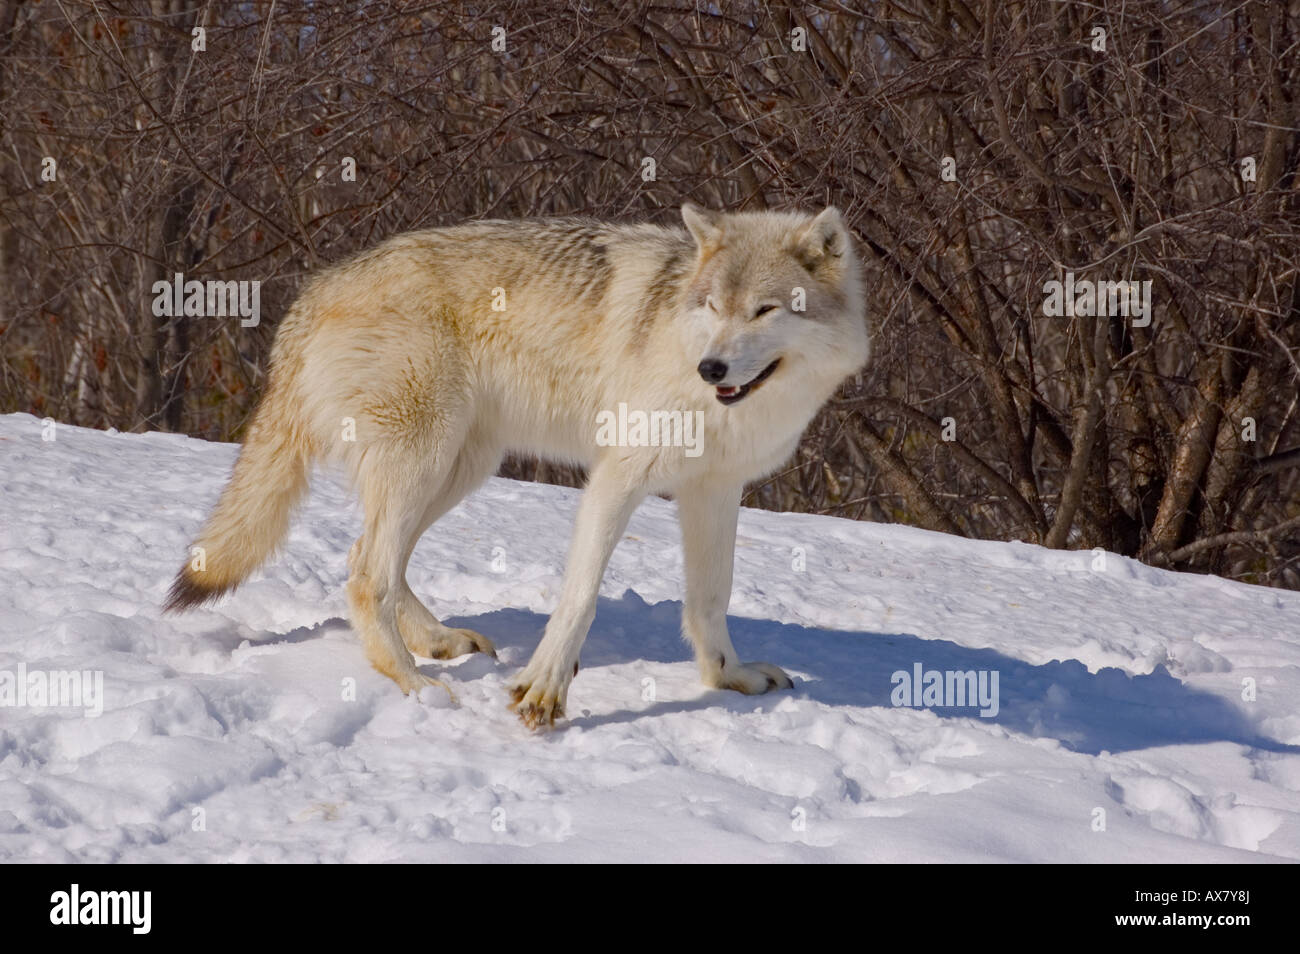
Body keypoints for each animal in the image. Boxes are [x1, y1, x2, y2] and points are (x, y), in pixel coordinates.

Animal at [165, 203, 870, 728]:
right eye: (714, 307)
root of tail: (309, 295)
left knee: (368, 558)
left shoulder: (716, 490)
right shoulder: (616, 477)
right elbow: (580, 596)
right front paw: (543, 693)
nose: (711, 368)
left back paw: (437, 642)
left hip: (461, 467)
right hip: (427, 459)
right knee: (368, 575)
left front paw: (730, 678)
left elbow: (711, 599)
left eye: (764, 310)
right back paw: (416, 685)